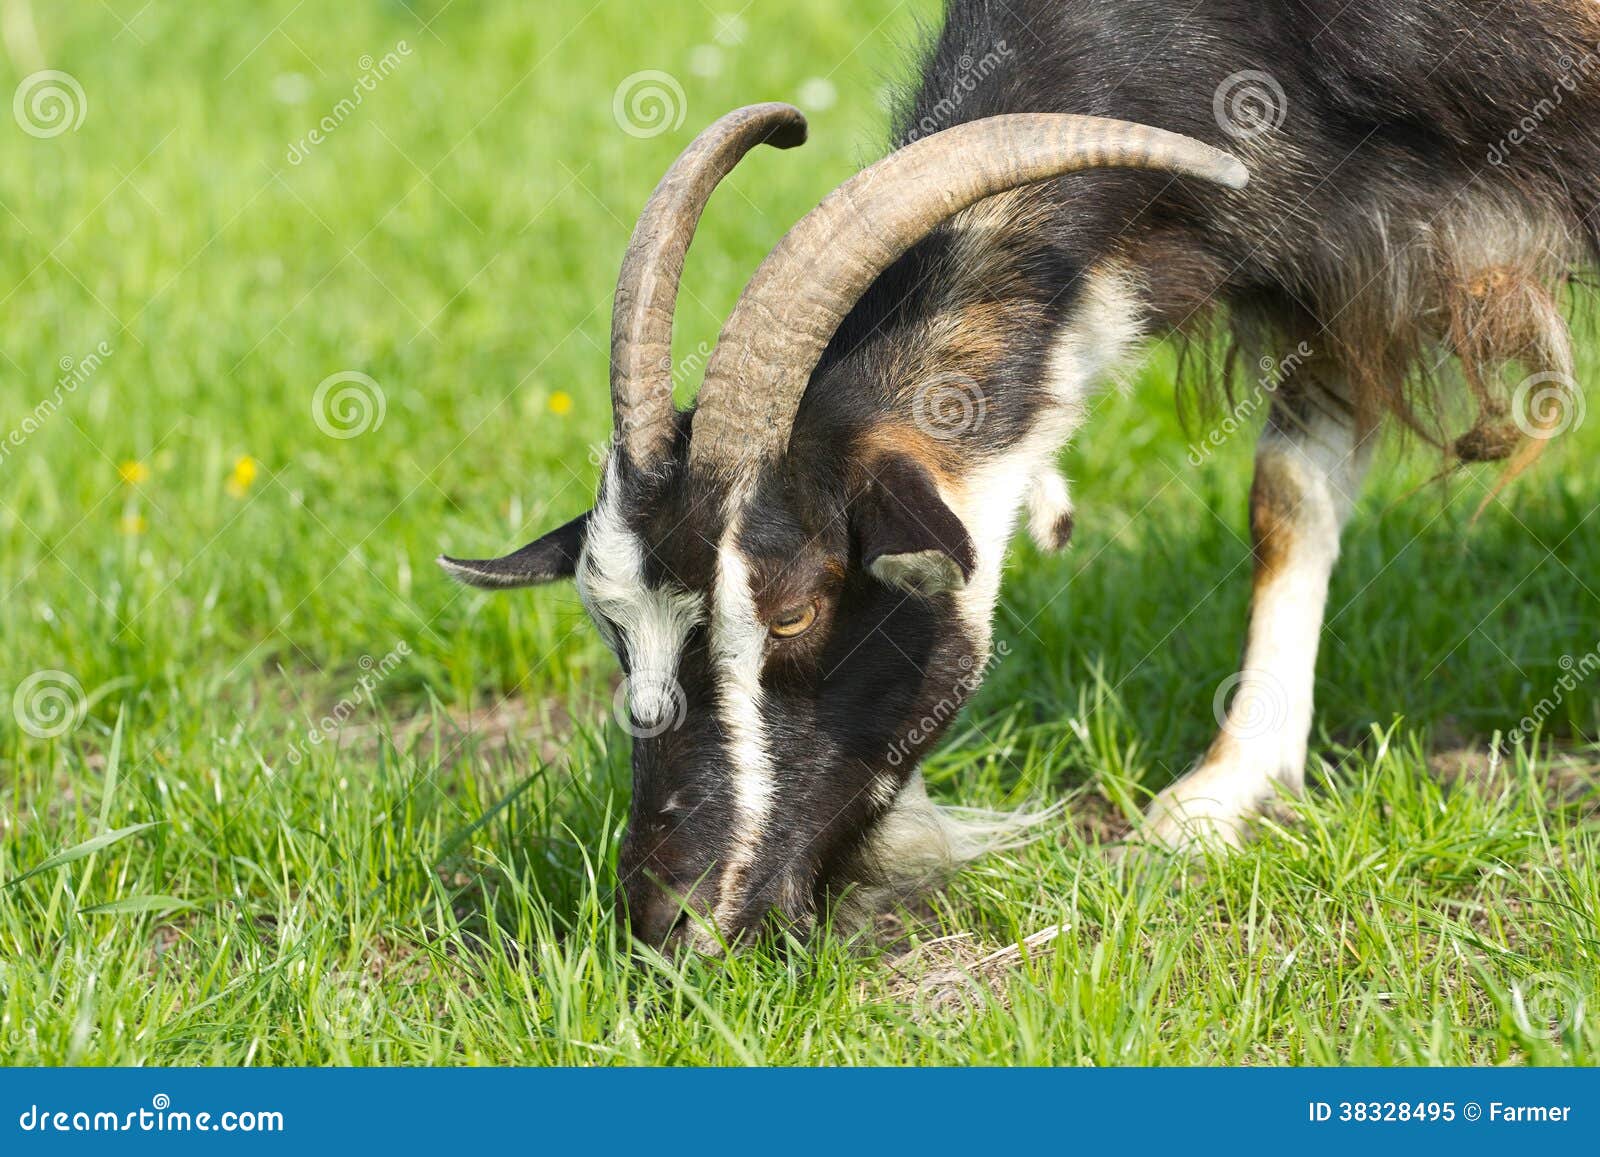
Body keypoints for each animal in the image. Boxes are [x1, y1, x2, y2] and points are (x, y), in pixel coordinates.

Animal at [441, 0, 1599, 951]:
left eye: (794, 608)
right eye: (609, 624)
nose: (668, 922)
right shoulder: (1334, 251)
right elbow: (1288, 498)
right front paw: (1222, 796)